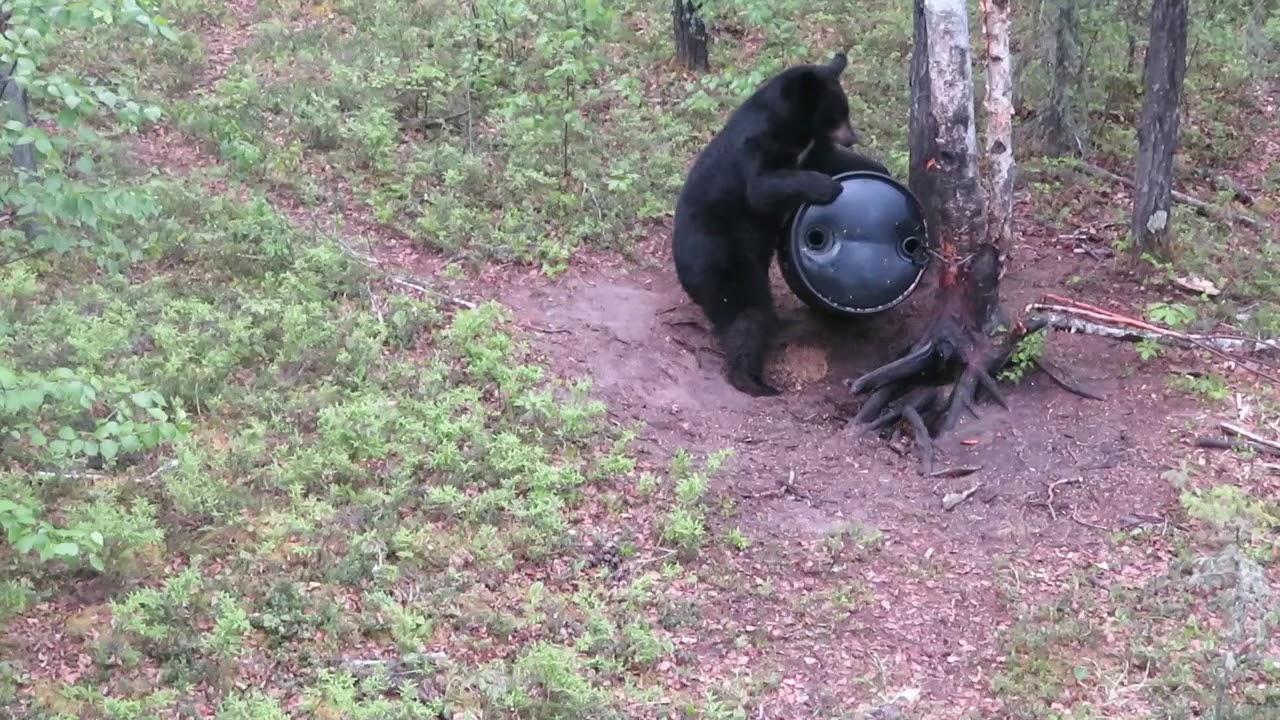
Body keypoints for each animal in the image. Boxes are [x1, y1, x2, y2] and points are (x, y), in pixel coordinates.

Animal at [672, 51, 864, 397]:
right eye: (835, 116)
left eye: (846, 111)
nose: (852, 138)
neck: (791, 129)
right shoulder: (758, 146)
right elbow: (761, 188)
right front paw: (828, 187)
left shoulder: (808, 149)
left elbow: (828, 160)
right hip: (725, 261)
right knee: (749, 315)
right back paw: (753, 380)